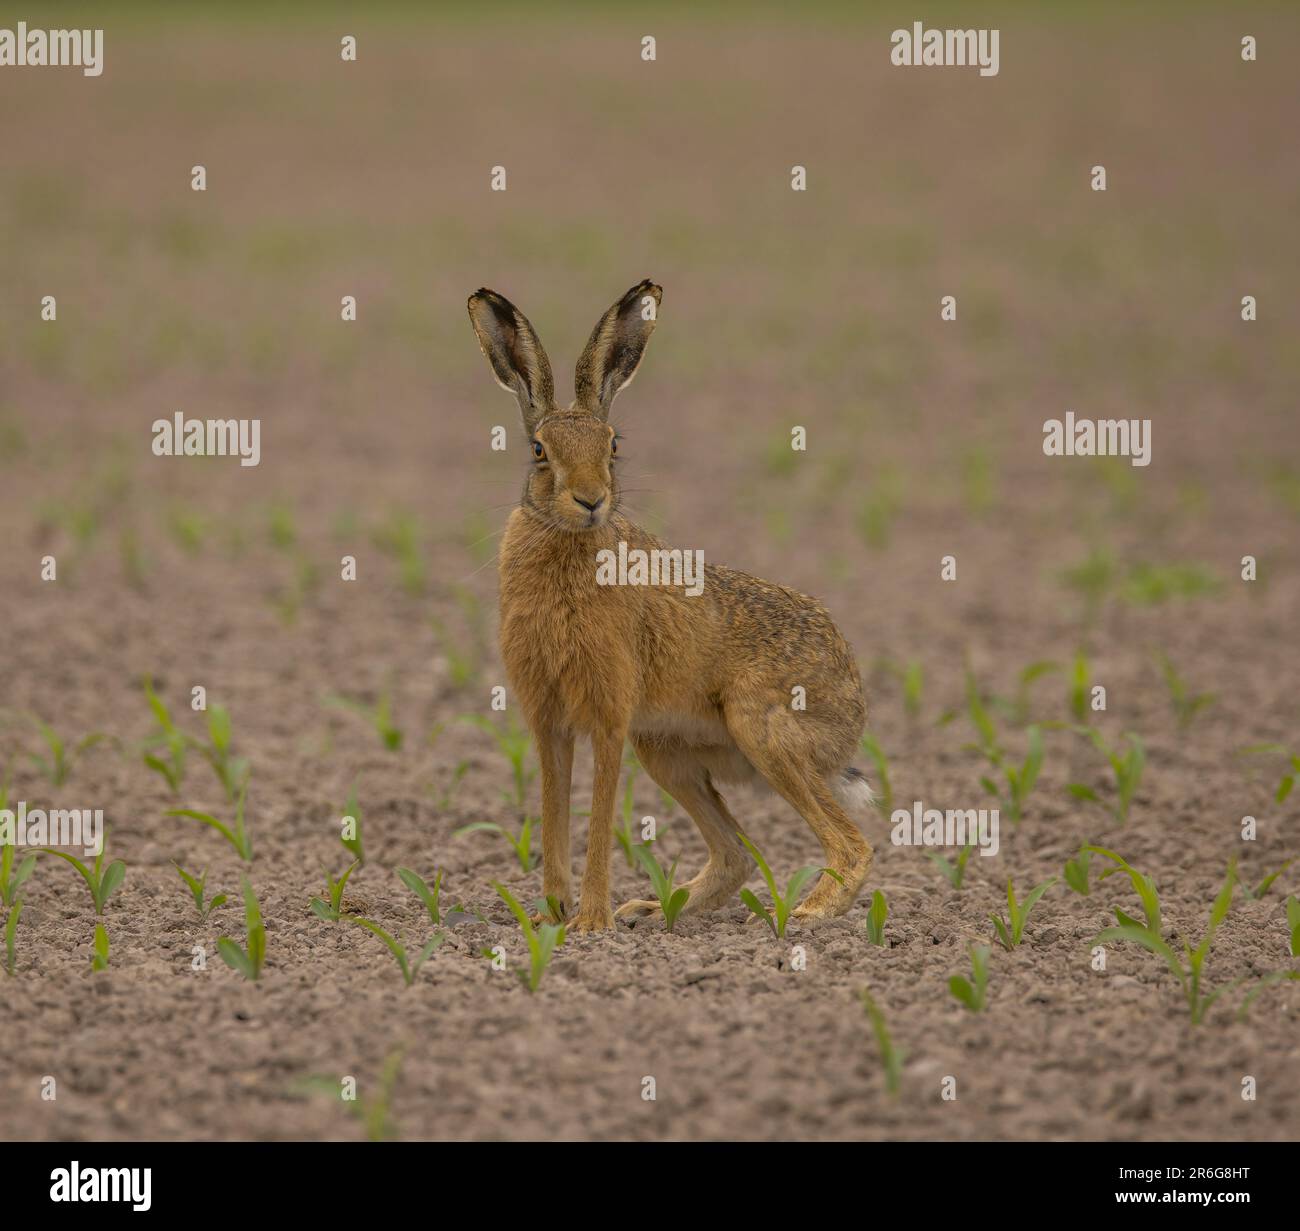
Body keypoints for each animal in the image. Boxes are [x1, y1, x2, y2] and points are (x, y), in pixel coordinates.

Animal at [467, 279, 873, 933]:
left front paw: (590, 922)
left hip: (764, 732)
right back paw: (652, 910)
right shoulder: (549, 719)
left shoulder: (610, 714)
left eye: (613, 445)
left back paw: (806, 913)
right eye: (538, 450)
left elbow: (599, 817)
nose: (591, 499)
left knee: (850, 844)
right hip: (667, 752)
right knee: (735, 856)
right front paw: (553, 916)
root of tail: (854, 710)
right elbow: (555, 811)